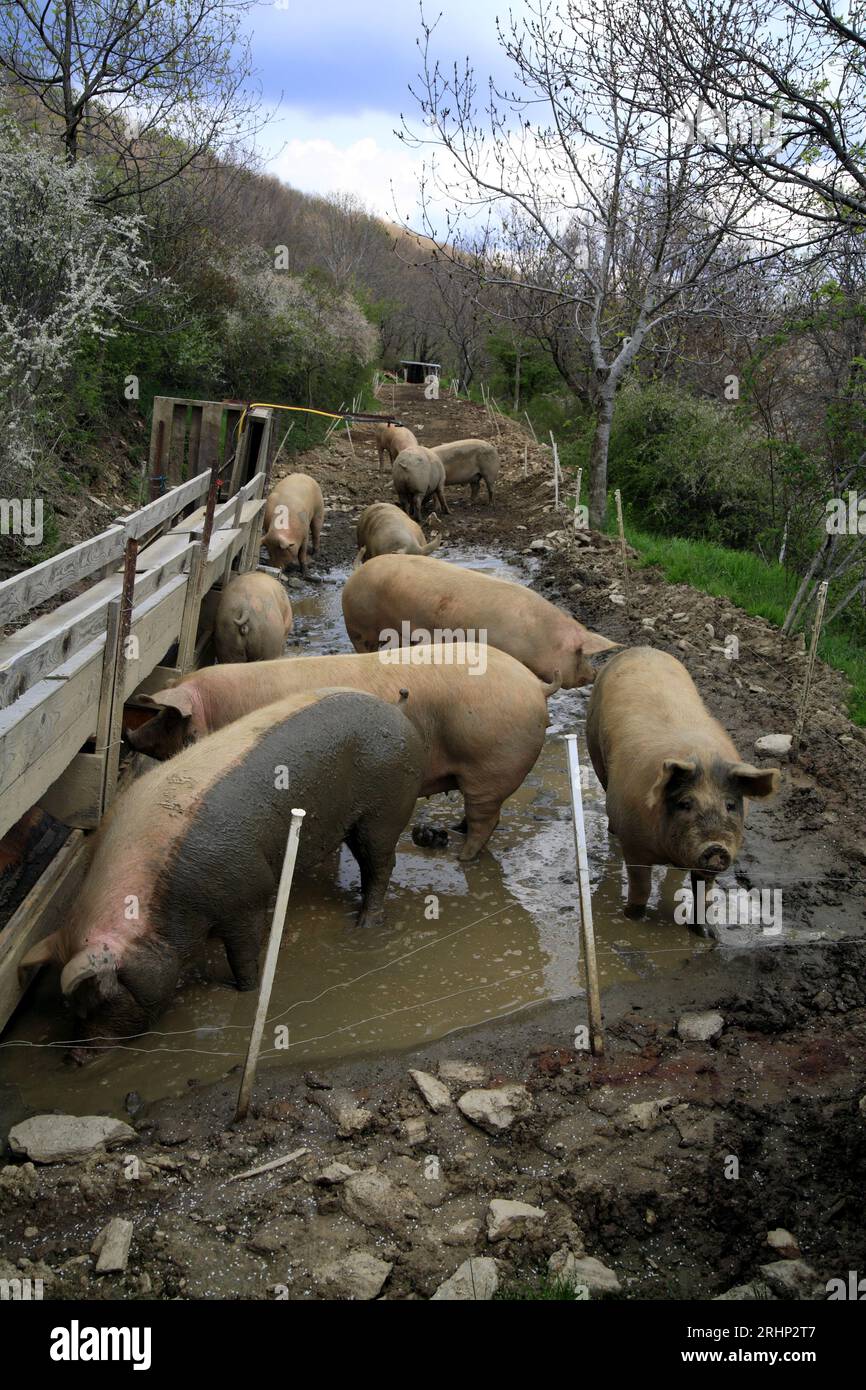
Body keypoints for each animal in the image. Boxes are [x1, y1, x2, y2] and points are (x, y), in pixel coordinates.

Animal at [21, 689, 426, 1055]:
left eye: (100, 997)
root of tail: (394, 709)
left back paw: (365, 924)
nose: (76, 1058)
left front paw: (246, 990)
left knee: (380, 864)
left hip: (385, 811)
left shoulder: (247, 892)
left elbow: (244, 951)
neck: (159, 908)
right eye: (71, 1006)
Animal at [126, 646, 558, 861]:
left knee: (487, 819)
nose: (128, 736)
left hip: (490, 766)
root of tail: (534, 683)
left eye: (165, 716)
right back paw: (452, 831)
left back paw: (462, 857)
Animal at [586, 647, 781, 918]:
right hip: (594, 746)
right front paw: (631, 916)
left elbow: (703, 889)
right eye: (685, 803)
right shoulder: (633, 844)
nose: (716, 848)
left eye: (730, 805)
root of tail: (641, 649)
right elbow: (641, 885)